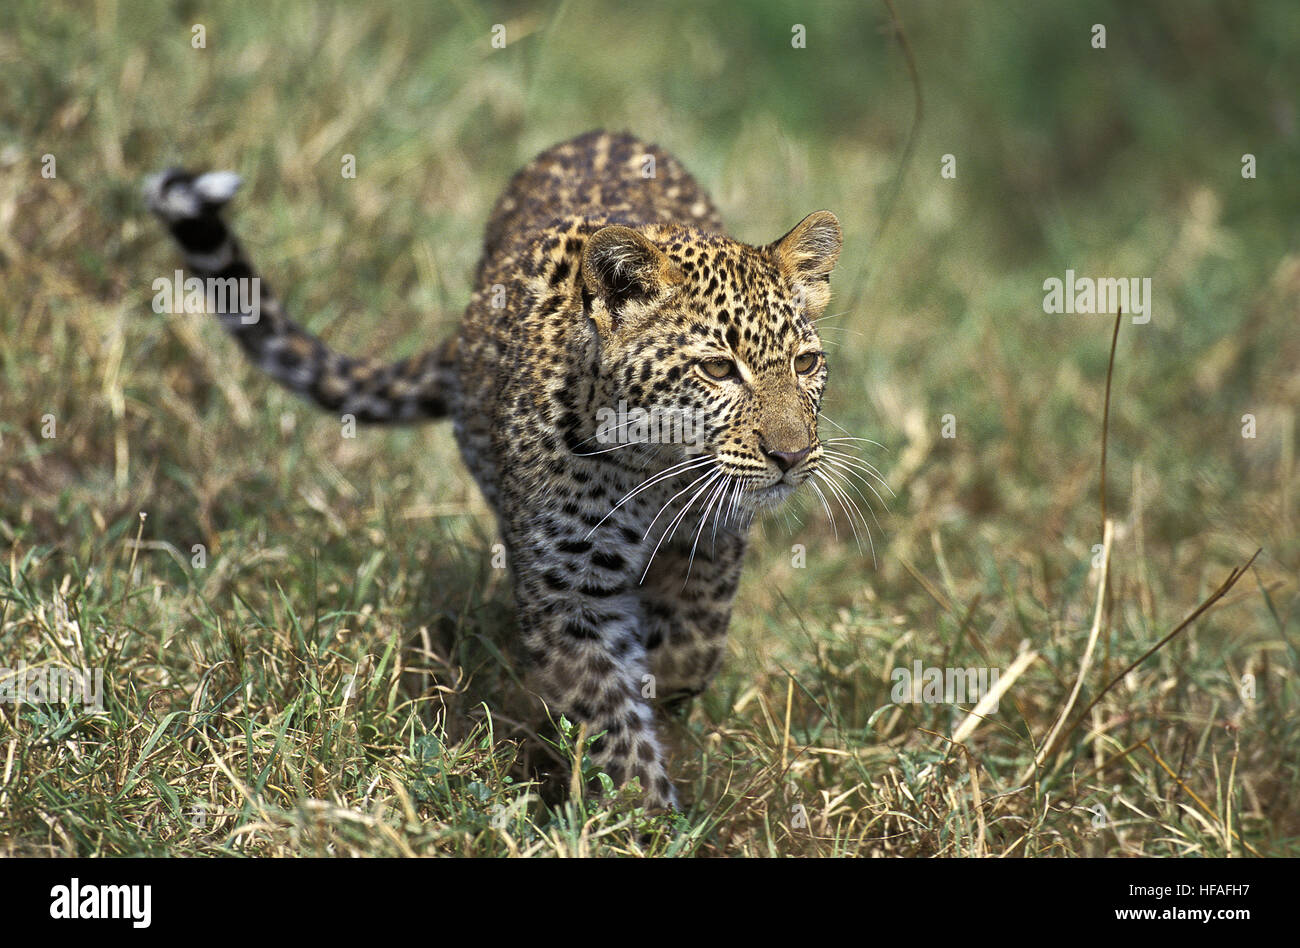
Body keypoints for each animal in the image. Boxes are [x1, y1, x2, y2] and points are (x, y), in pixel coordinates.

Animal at [144, 130, 843, 810]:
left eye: (805, 364)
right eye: (718, 368)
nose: (791, 456)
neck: (656, 466)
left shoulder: (716, 544)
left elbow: (695, 642)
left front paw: (670, 701)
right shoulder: (569, 593)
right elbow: (613, 723)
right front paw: (645, 818)